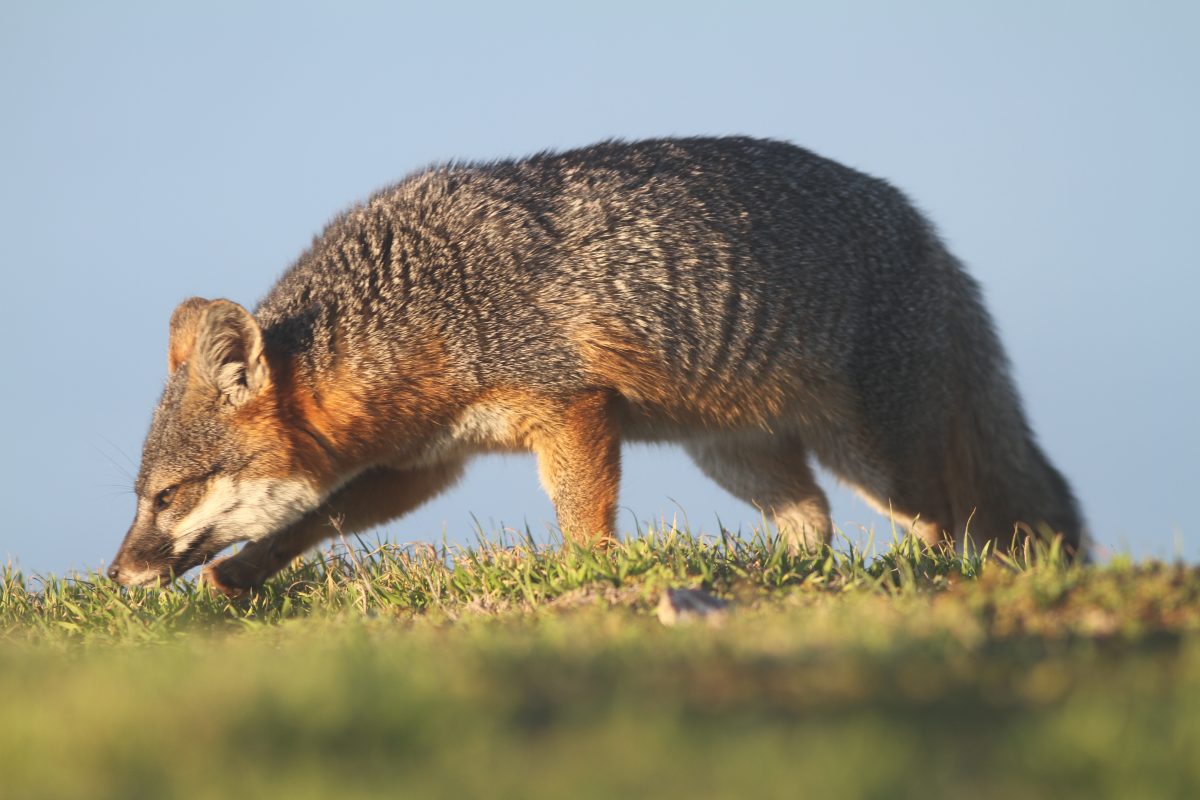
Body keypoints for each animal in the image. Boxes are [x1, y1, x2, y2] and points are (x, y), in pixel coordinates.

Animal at [107, 136, 1085, 592]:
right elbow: (321, 517)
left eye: (169, 496)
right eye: (143, 497)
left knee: (951, 527)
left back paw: (925, 580)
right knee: (813, 523)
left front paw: (593, 580)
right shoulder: (426, 460)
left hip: (882, 463)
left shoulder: (570, 408)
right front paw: (243, 575)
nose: (116, 574)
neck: (426, 308)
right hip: (736, 458)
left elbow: (583, 523)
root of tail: (926, 231)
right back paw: (793, 577)